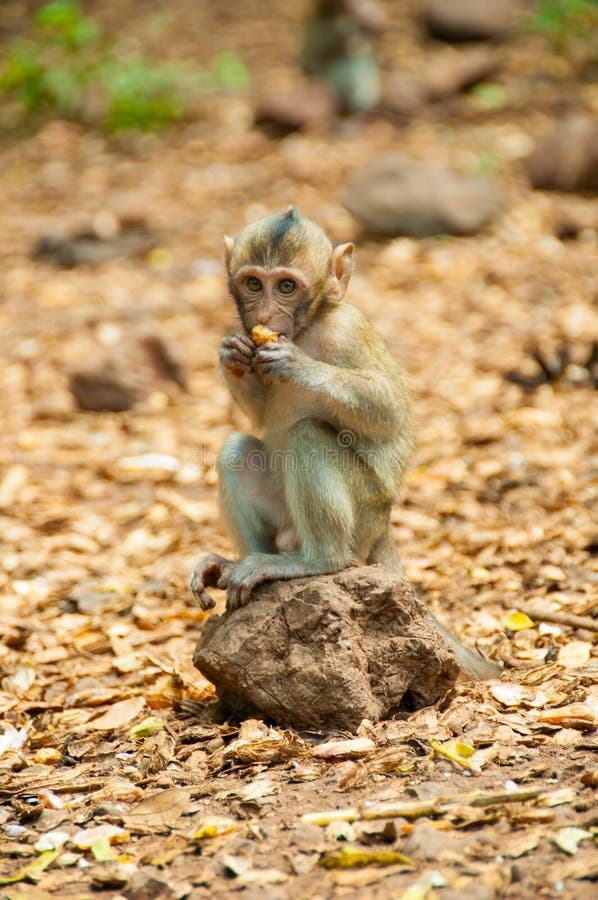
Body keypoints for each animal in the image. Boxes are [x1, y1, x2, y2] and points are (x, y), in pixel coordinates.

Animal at [190, 206, 500, 680]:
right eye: (253, 284)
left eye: (286, 286)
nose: (266, 313)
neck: (308, 327)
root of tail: (385, 525)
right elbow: (258, 417)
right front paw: (233, 354)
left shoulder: (346, 330)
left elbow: (388, 410)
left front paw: (297, 365)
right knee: (237, 450)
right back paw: (237, 565)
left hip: (365, 513)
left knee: (307, 435)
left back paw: (320, 561)